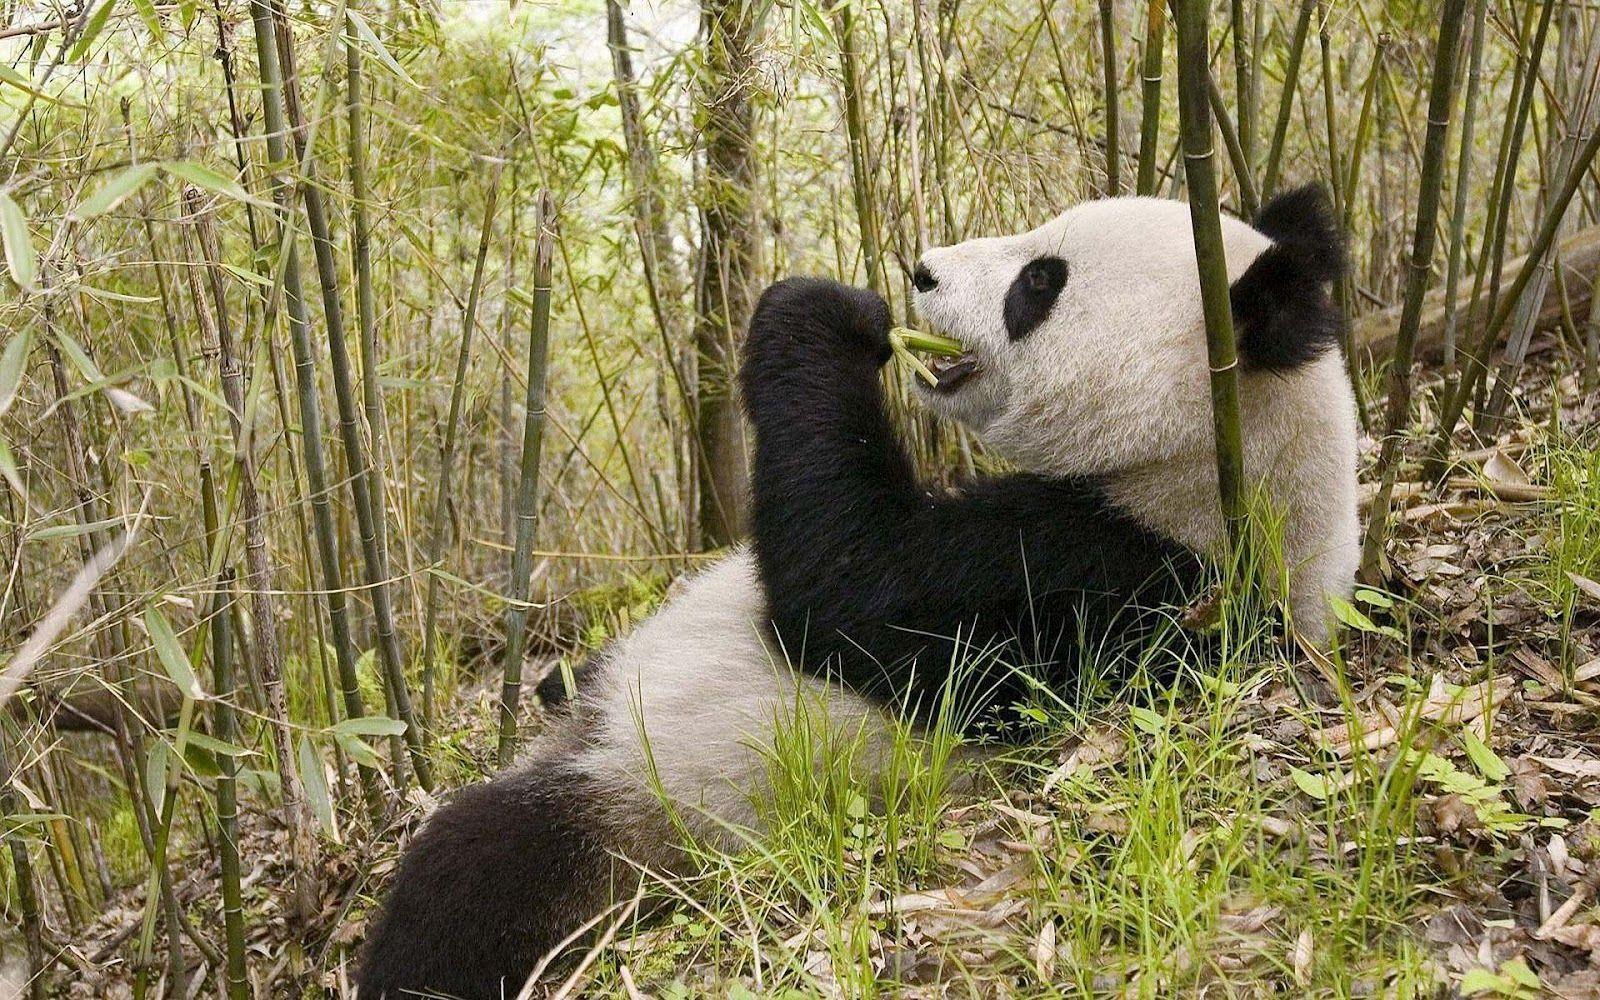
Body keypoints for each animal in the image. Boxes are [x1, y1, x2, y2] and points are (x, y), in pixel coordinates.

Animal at [355, 184, 1357, 999]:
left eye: (1040, 282)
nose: (920, 272)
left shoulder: (1109, 582)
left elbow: (851, 588)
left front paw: (824, 313)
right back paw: (559, 681)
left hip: (654, 805)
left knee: (471, 885)